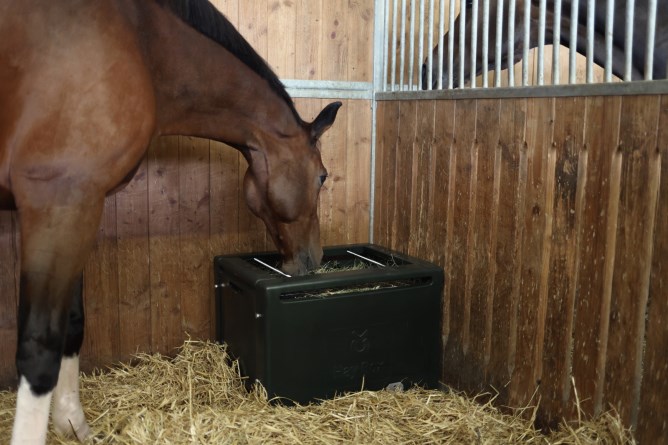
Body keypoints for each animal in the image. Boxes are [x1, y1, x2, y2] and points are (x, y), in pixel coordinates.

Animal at [0, 0, 341, 442]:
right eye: (322, 176)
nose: (314, 258)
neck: (144, 45)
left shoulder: (79, 207)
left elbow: (72, 325)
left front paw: (72, 422)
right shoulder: (60, 201)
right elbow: (40, 347)